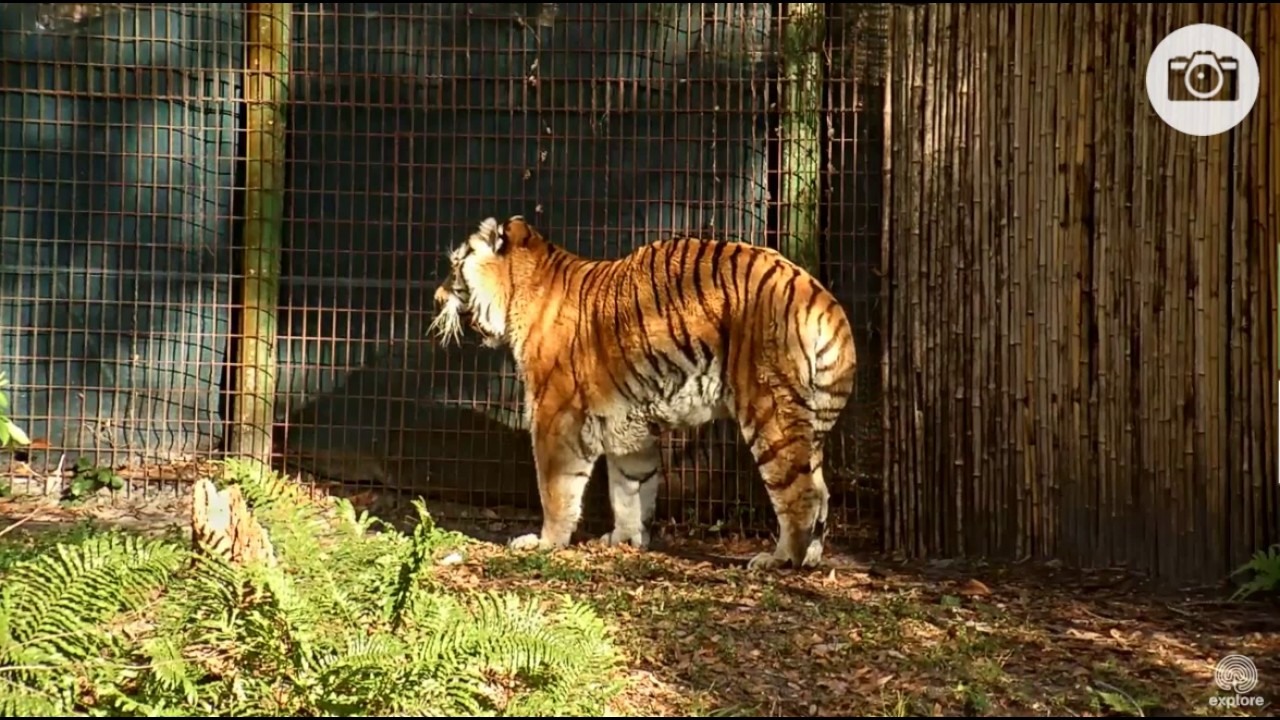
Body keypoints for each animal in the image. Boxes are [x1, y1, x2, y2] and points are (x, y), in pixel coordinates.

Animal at [427, 215, 858, 570]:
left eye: (454, 267)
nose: (435, 298)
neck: (523, 290)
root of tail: (820, 296)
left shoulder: (557, 418)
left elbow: (556, 489)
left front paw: (544, 542)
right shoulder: (624, 422)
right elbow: (630, 488)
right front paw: (625, 539)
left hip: (770, 410)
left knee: (801, 494)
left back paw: (781, 559)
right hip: (810, 425)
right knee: (822, 492)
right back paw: (812, 556)